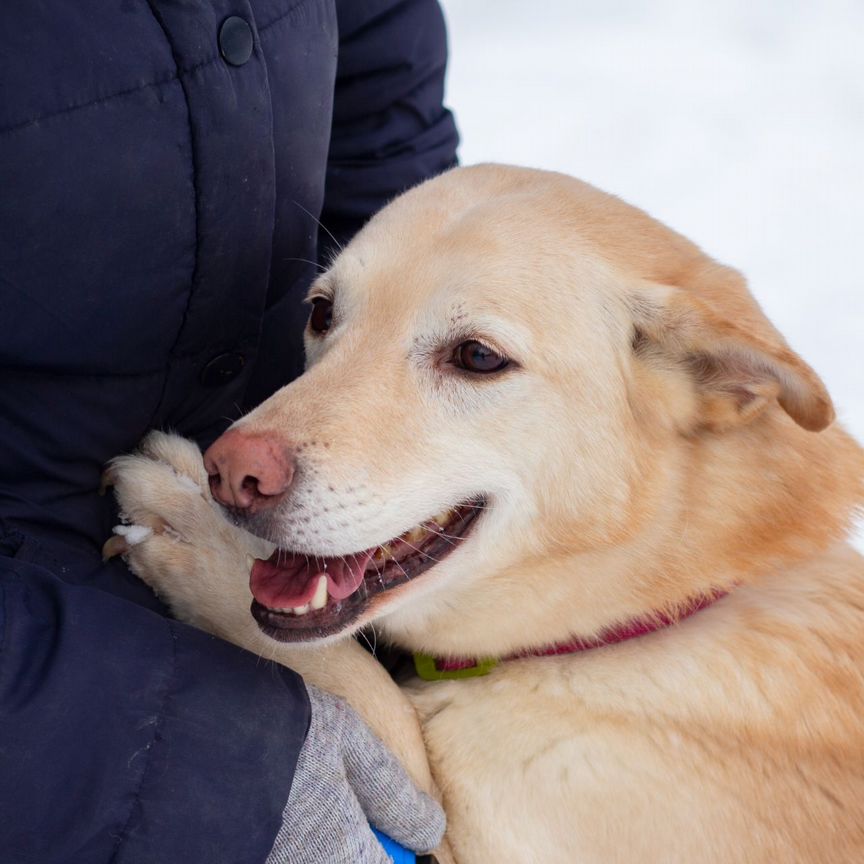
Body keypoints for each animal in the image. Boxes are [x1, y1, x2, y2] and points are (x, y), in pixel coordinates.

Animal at [106, 165, 864, 860]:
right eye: (322, 311)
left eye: (477, 356)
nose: (230, 476)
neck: (651, 614)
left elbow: (369, 696)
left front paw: (194, 538)